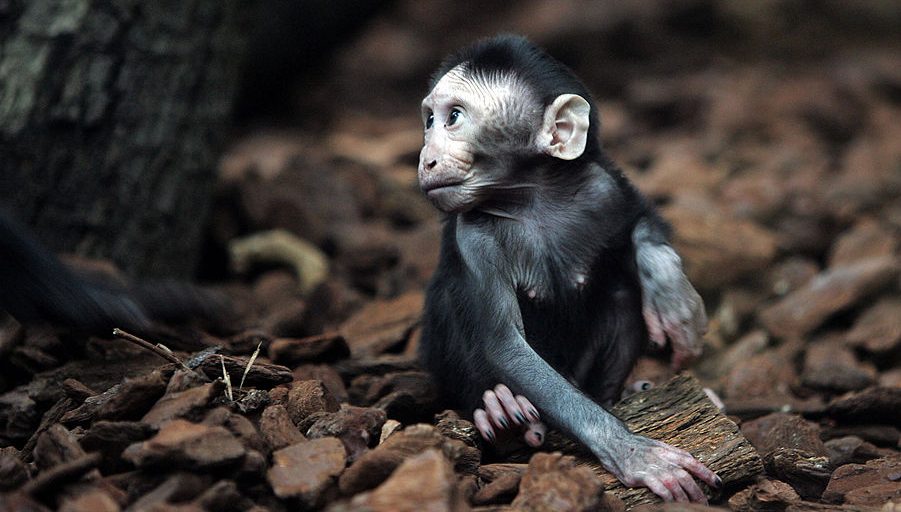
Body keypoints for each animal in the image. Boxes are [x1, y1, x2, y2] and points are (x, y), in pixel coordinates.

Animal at [416, 35, 718, 503]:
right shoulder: (474, 238)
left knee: (621, 290)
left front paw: (671, 293)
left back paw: (619, 391)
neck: (532, 198)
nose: (427, 157)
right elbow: (506, 346)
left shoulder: (601, 189)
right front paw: (631, 451)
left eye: (453, 118)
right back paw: (498, 406)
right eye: (429, 120)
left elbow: (639, 218)